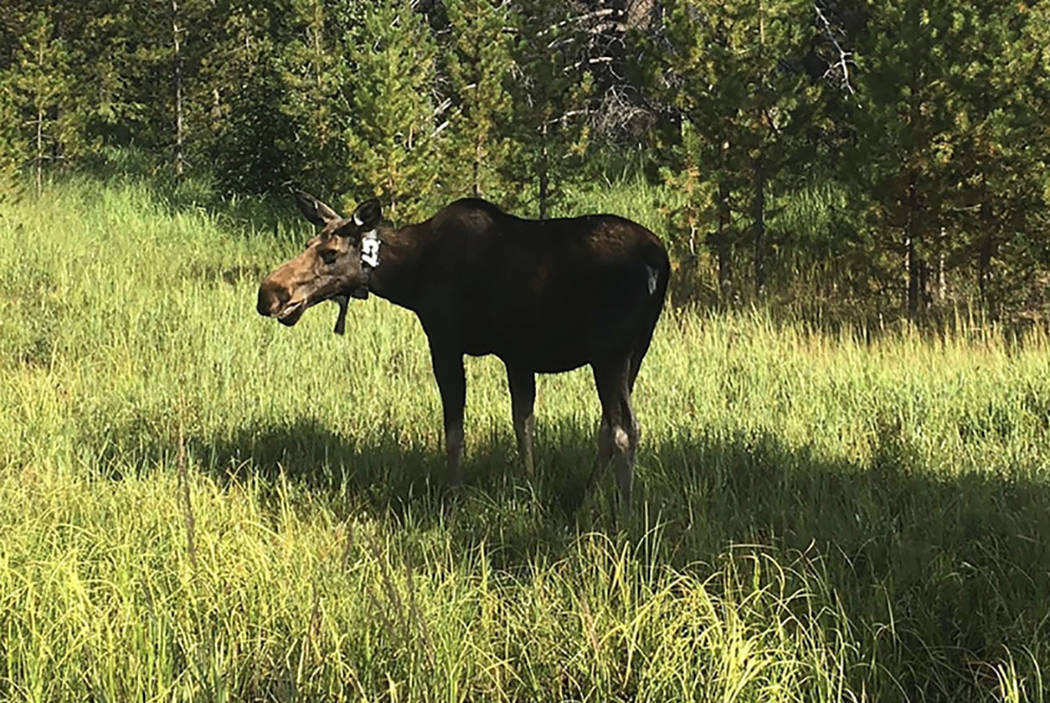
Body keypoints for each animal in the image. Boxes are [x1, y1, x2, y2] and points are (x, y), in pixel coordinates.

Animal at [256, 190, 669, 508]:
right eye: (308, 244)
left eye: (330, 253)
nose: (270, 293)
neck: (410, 276)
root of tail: (660, 263)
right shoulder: (517, 355)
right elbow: (524, 423)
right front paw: (529, 488)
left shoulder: (445, 341)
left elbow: (455, 433)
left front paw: (452, 498)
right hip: (635, 352)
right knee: (608, 427)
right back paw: (585, 499)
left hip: (610, 353)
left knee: (625, 430)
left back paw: (624, 516)